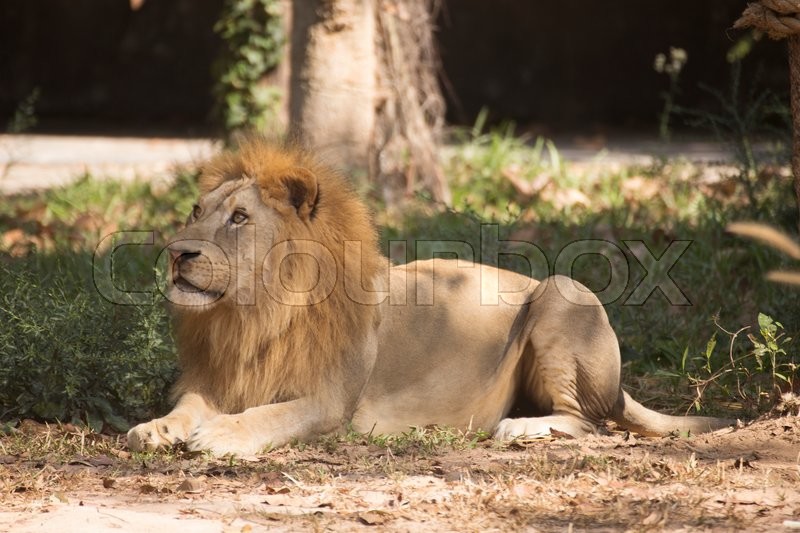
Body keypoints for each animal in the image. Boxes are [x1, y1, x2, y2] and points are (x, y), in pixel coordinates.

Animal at [127, 138, 734, 456]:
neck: (255, 313)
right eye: (196, 212)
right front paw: (157, 427)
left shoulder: (328, 402)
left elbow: (269, 415)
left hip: (562, 292)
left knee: (589, 421)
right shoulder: (219, 378)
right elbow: (187, 405)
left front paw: (220, 434)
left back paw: (517, 428)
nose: (176, 253)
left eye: (239, 218)